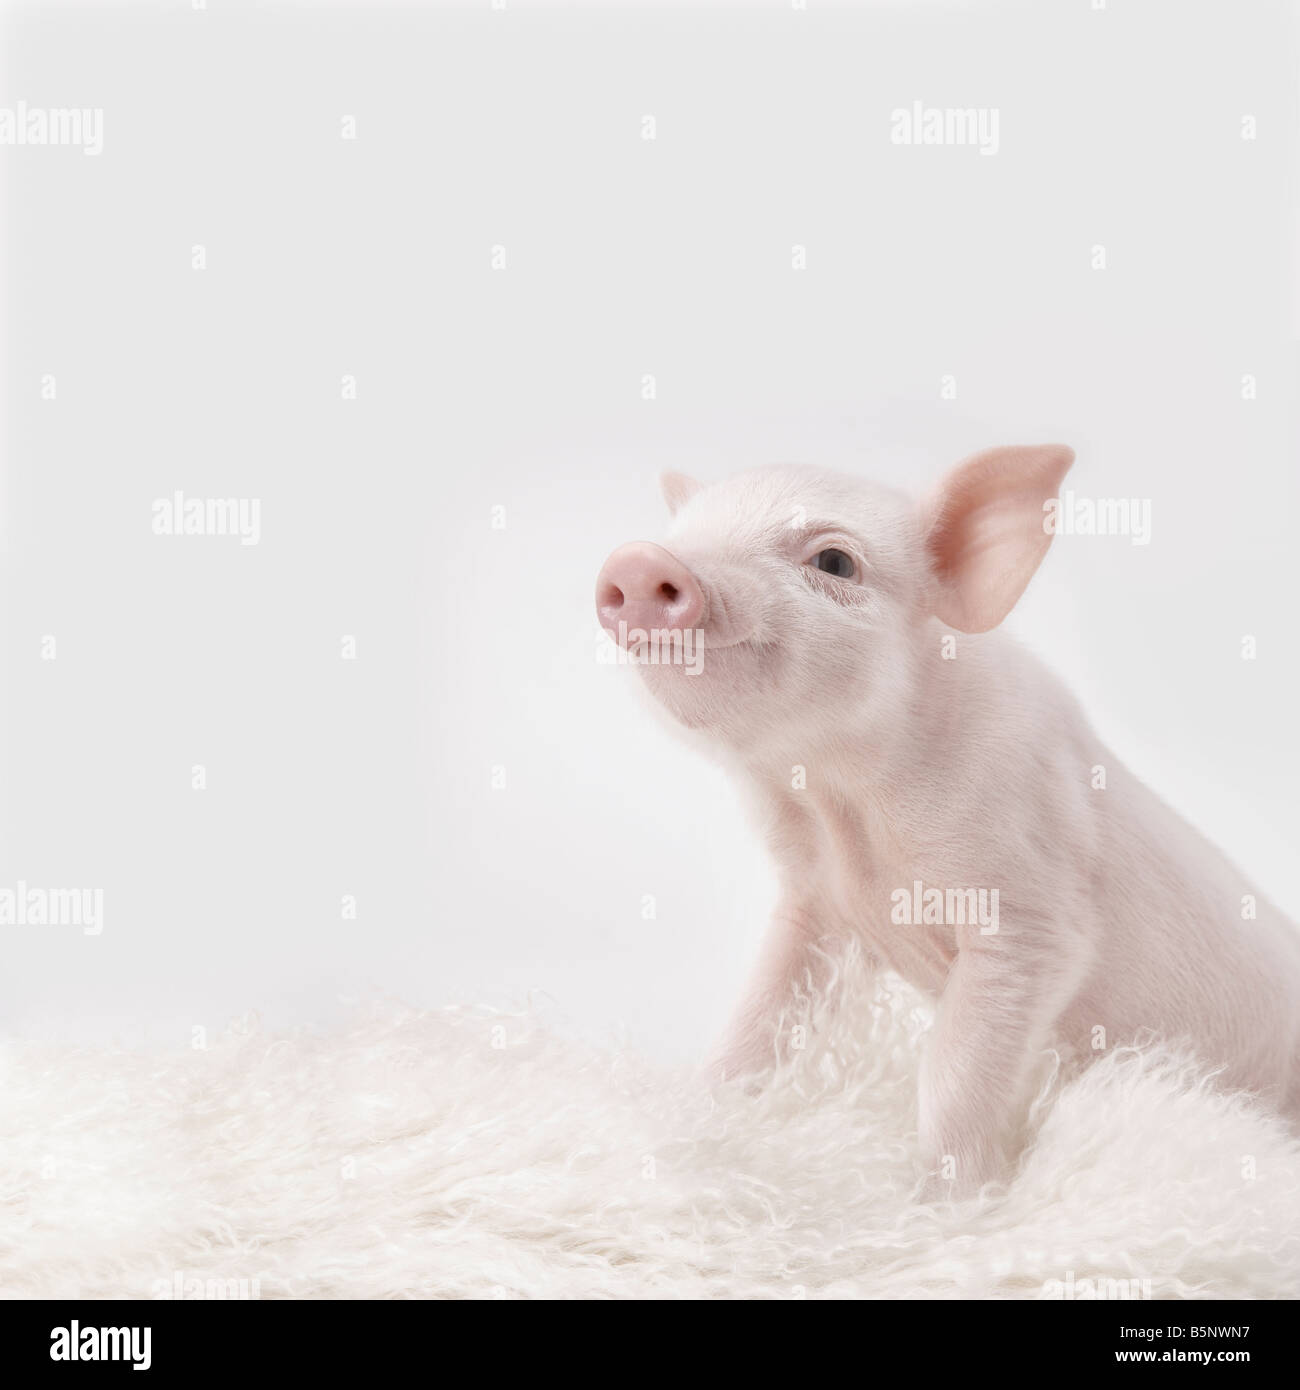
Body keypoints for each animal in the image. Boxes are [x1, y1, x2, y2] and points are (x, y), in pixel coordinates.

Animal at [595, 445, 1300, 1196]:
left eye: (835, 561)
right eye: (681, 534)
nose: (638, 560)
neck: (844, 813)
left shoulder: (1034, 909)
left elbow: (954, 1074)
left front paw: (950, 1203)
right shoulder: (812, 906)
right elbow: (759, 1016)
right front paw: (697, 1113)